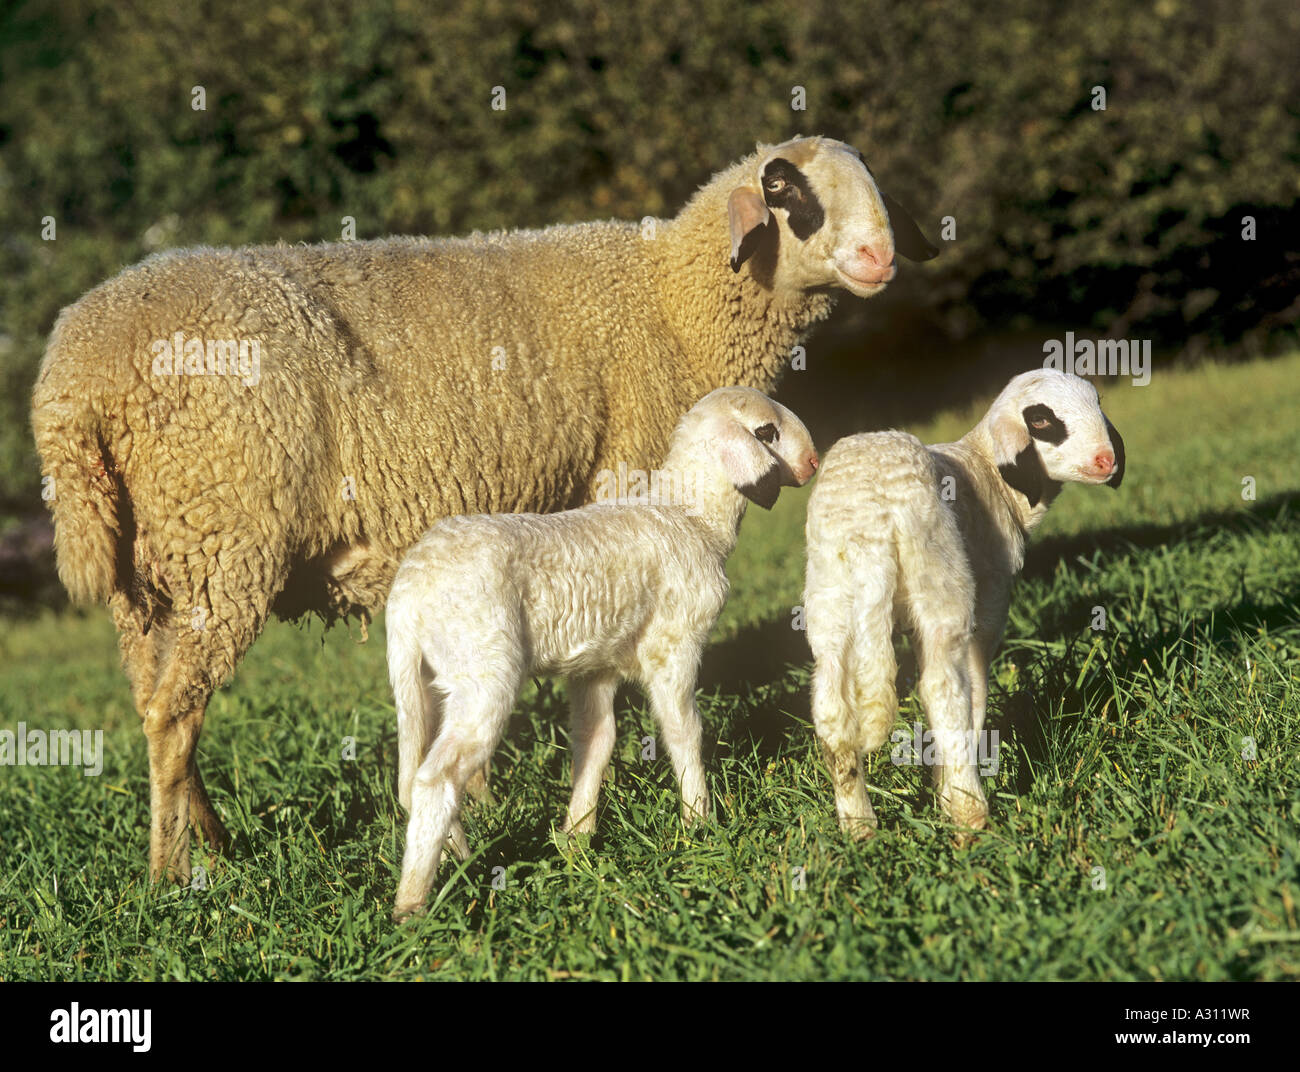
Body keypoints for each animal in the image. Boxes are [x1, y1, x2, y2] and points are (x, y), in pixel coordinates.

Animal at [385, 386, 818, 920]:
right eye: (766, 432)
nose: (813, 462)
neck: (691, 516)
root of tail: (410, 593)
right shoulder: (673, 645)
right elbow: (683, 731)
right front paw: (699, 823)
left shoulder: (594, 667)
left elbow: (595, 742)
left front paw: (575, 840)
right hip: (483, 670)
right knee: (436, 778)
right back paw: (414, 904)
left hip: (420, 680)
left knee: (411, 776)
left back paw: (458, 860)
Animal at [802, 369, 1126, 839]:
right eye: (1042, 420)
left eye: (1097, 404)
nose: (1106, 460)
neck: (988, 469)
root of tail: (870, 520)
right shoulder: (990, 599)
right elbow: (974, 689)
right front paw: (948, 795)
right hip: (942, 580)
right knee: (943, 687)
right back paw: (970, 814)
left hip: (828, 597)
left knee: (830, 707)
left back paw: (859, 826)